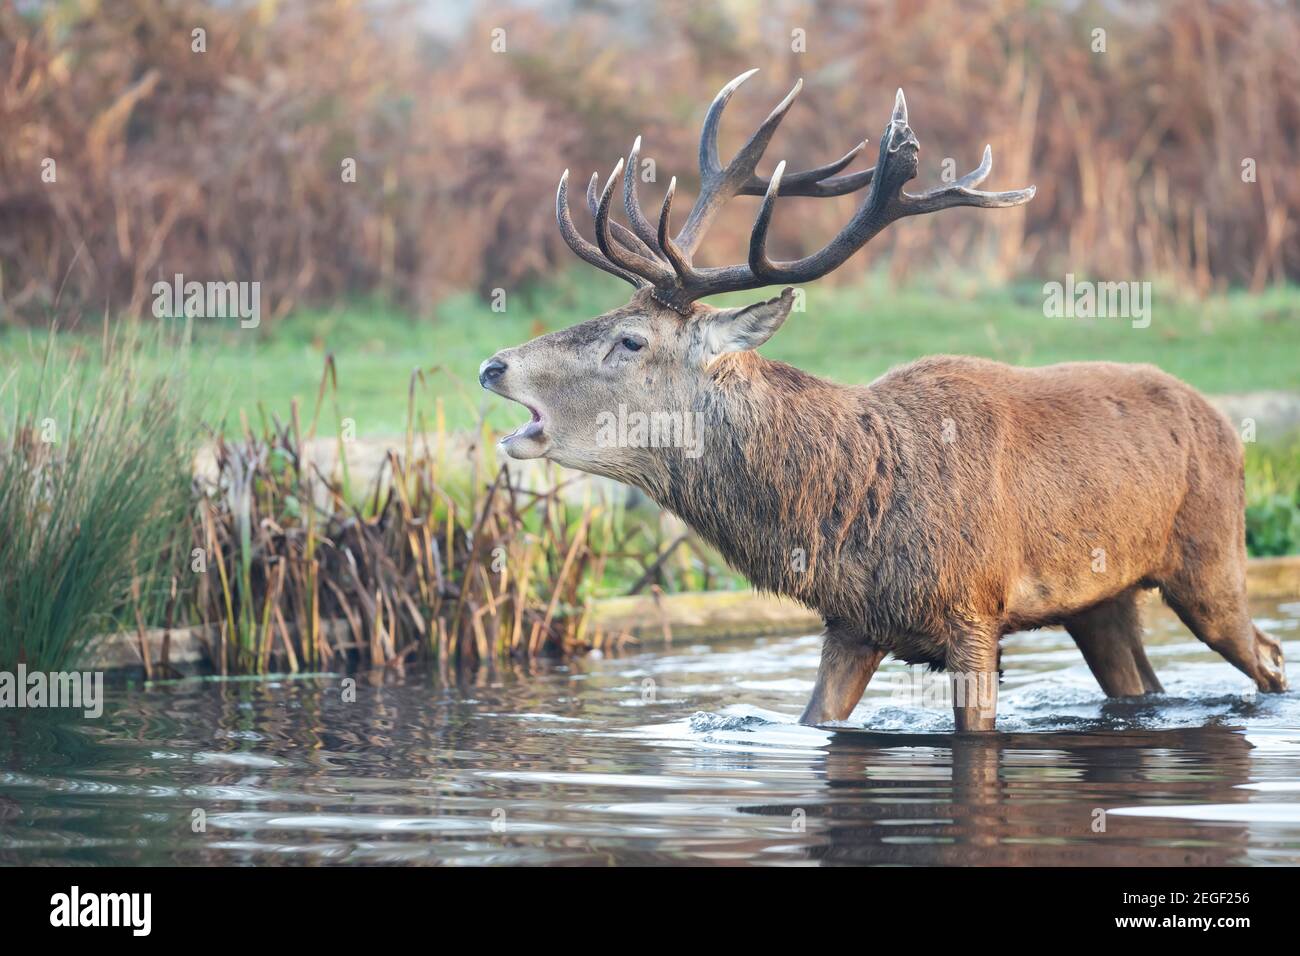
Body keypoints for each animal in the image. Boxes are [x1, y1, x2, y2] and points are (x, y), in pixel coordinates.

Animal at [479, 71, 1288, 731]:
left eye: (631, 340)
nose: (493, 364)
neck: (853, 513)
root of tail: (1222, 422)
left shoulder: (974, 608)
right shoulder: (849, 625)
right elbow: (815, 721)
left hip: (1213, 557)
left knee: (1271, 655)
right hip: (1101, 600)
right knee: (1143, 683)